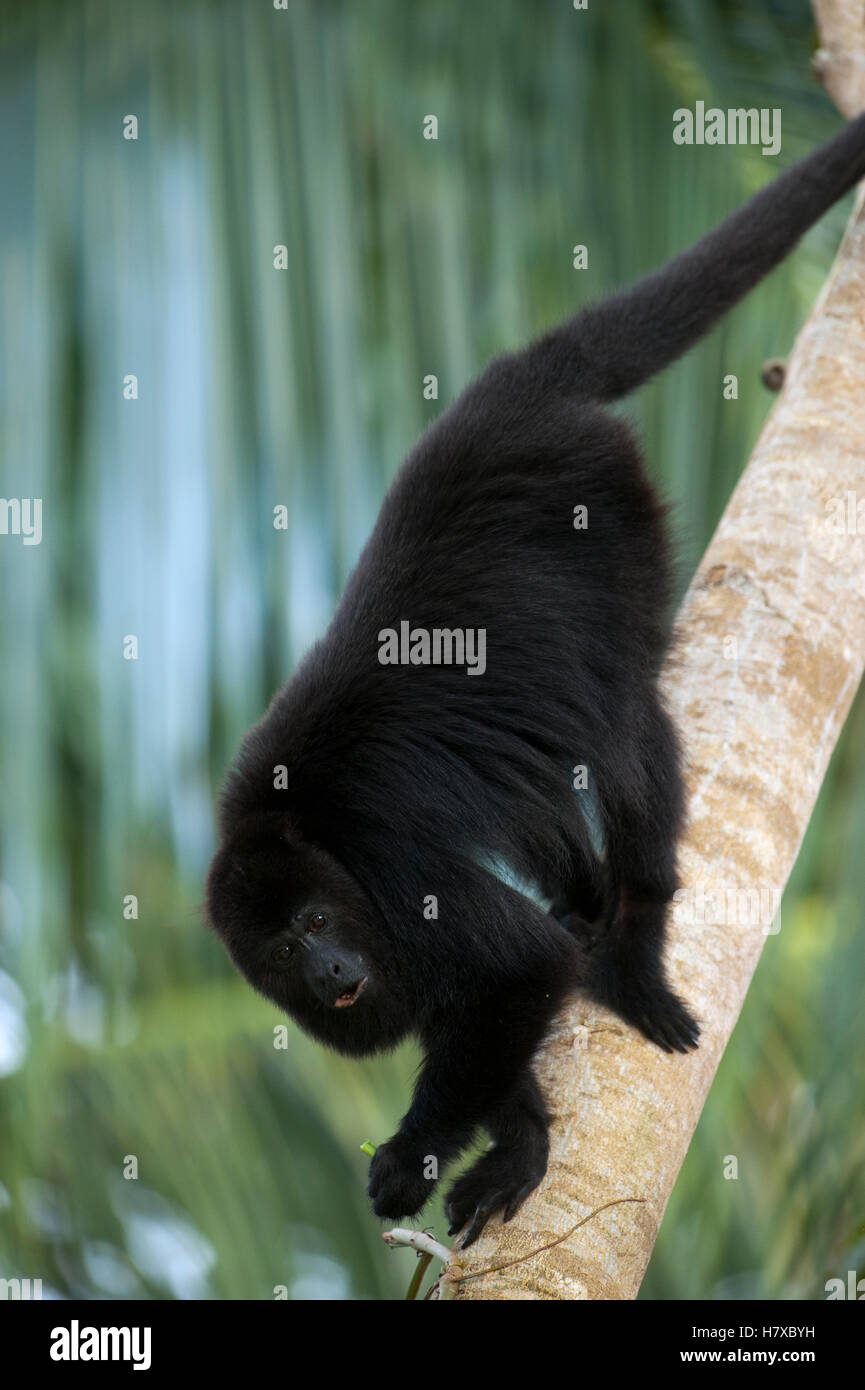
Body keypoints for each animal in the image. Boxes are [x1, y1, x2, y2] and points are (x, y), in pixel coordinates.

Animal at [206, 111, 865, 1247]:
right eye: (282, 952)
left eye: (318, 924)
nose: (328, 973)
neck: (315, 837)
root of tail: (509, 389)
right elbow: (472, 1014)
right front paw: (517, 1143)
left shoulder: (392, 860)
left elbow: (517, 969)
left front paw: (416, 1154)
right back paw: (583, 894)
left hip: (610, 517)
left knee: (625, 728)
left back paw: (632, 933)